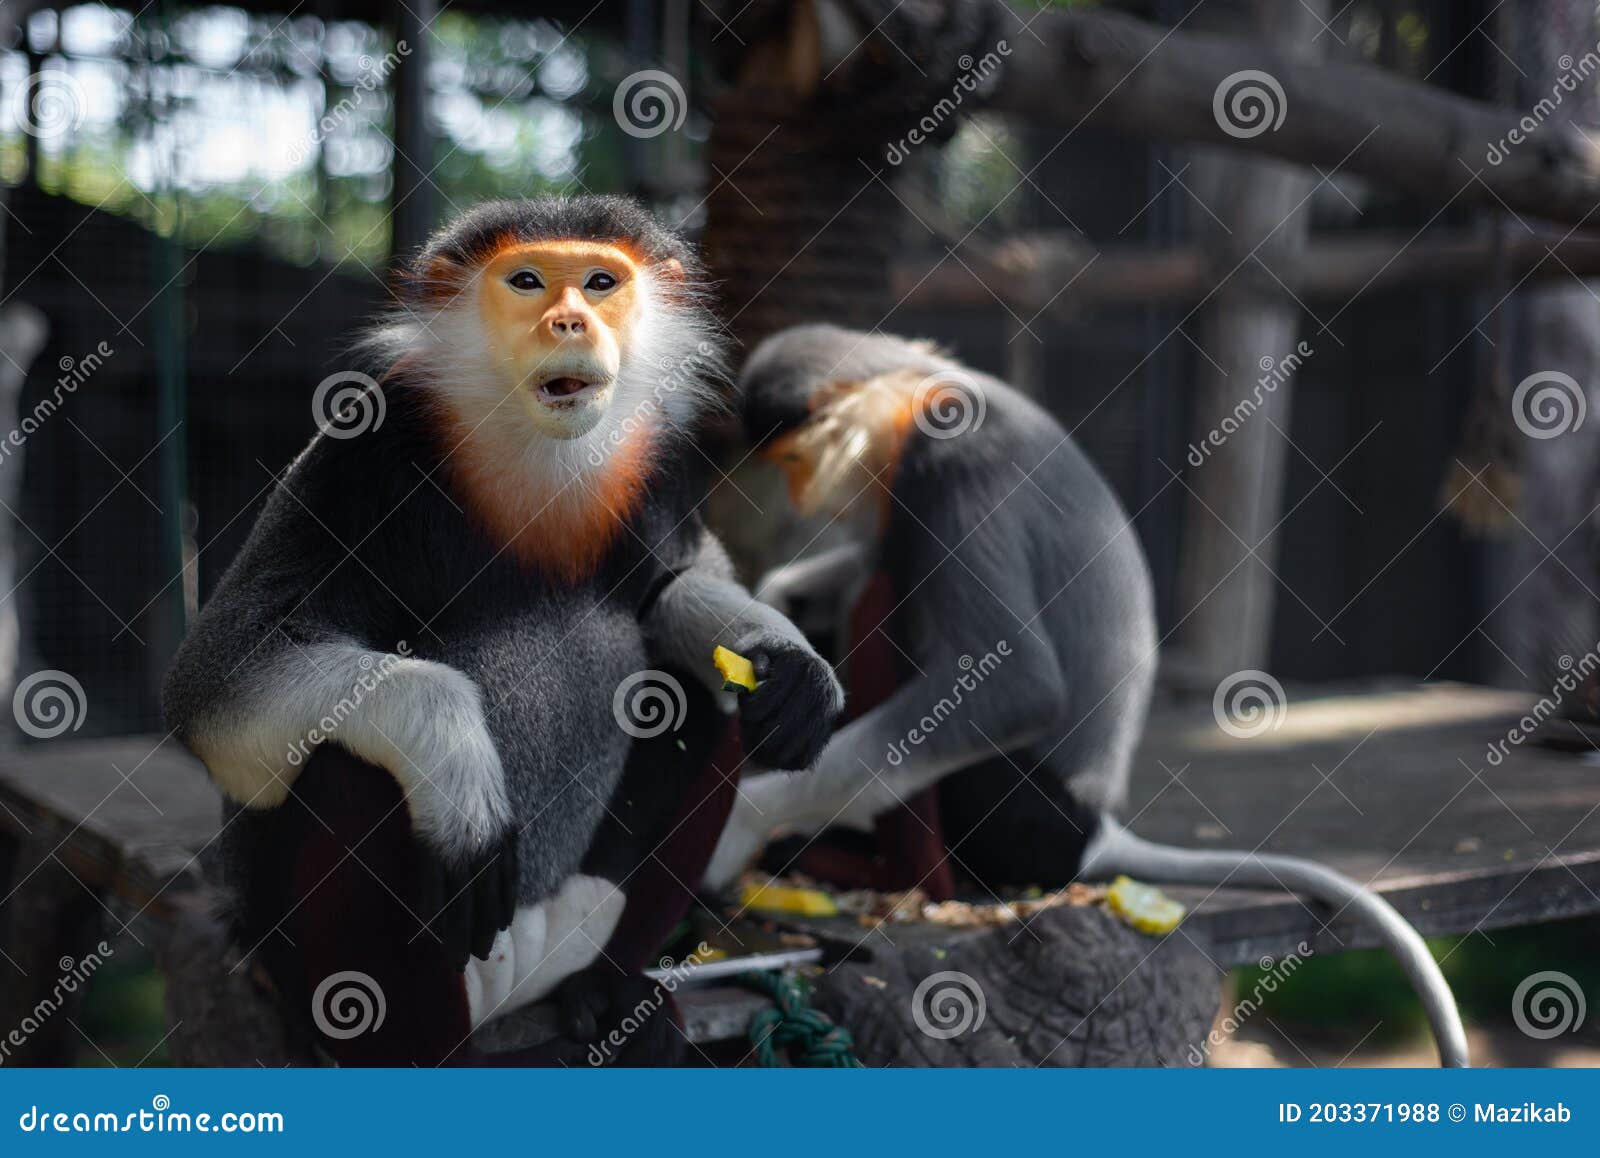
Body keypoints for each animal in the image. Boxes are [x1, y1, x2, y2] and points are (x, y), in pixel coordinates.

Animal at [162, 198, 843, 1066]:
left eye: (600, 283)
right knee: (350, 767)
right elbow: (219, 675)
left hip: (579, 924)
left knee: (707, 691)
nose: (569, 321)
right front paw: (460, 775)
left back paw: (609, 995)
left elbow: (679, 586)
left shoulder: (655, 461)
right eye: (525, 282)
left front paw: (791, 659)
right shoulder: (360, 450)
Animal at [704, 323, 1469, 1069]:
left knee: (892, 589)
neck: (926, 391)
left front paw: (743, 820)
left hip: (1020, 815)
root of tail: (1095, 826)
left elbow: (1017, 684)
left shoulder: (952, 458)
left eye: (796, 460)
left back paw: (886, 870)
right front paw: (781, 601)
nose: (799, 496)